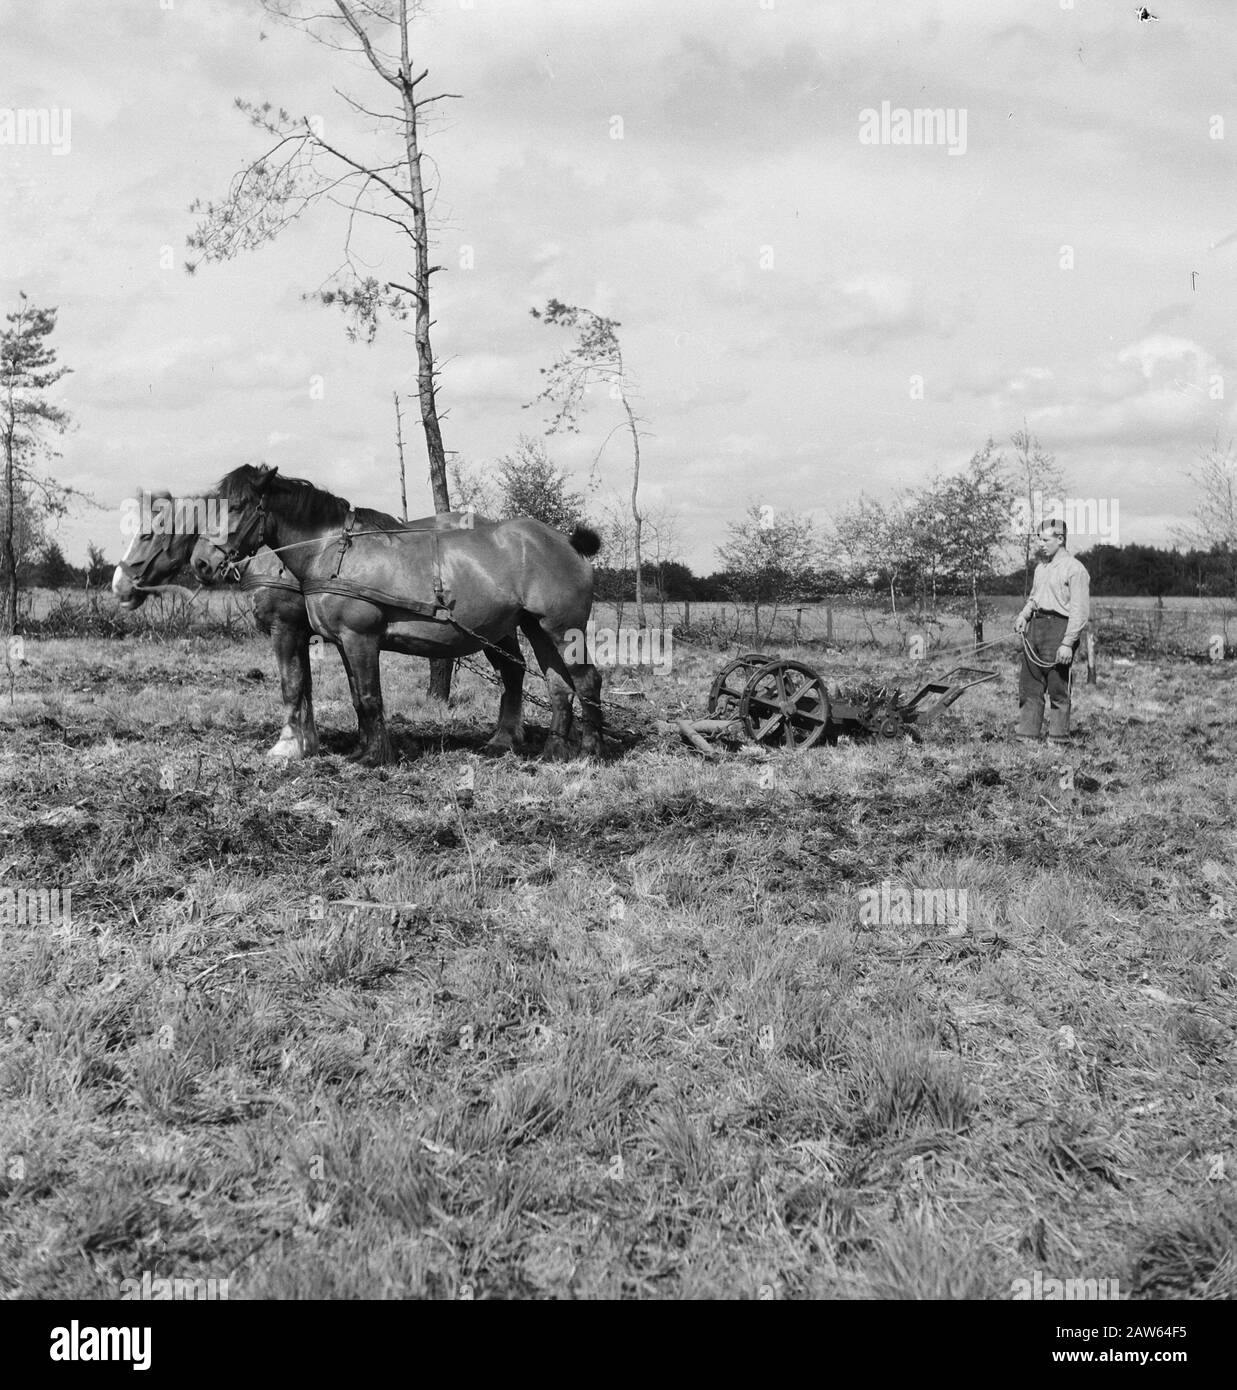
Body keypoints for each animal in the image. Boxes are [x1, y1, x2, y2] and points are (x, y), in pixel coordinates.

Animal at [112, 492, 482, 759]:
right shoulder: (304, 634)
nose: (119, 585)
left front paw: (289, 746)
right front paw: (307, 743)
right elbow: (305, 686)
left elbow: (291, 685)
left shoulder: (285, 629)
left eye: (146, 534)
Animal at [190, 464, 603, 766]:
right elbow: (355, 697)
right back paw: (552, 750)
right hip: (535, 628)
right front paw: (359, 748)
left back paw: (590, 749)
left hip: (564, 629)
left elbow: (367, 696)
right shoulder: (342, 641)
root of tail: (566, 542)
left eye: (237, 506)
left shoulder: (356, 636)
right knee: (557, 686)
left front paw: (374, 756)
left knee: (586, 682)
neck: (332, 551)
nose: (200, 562)